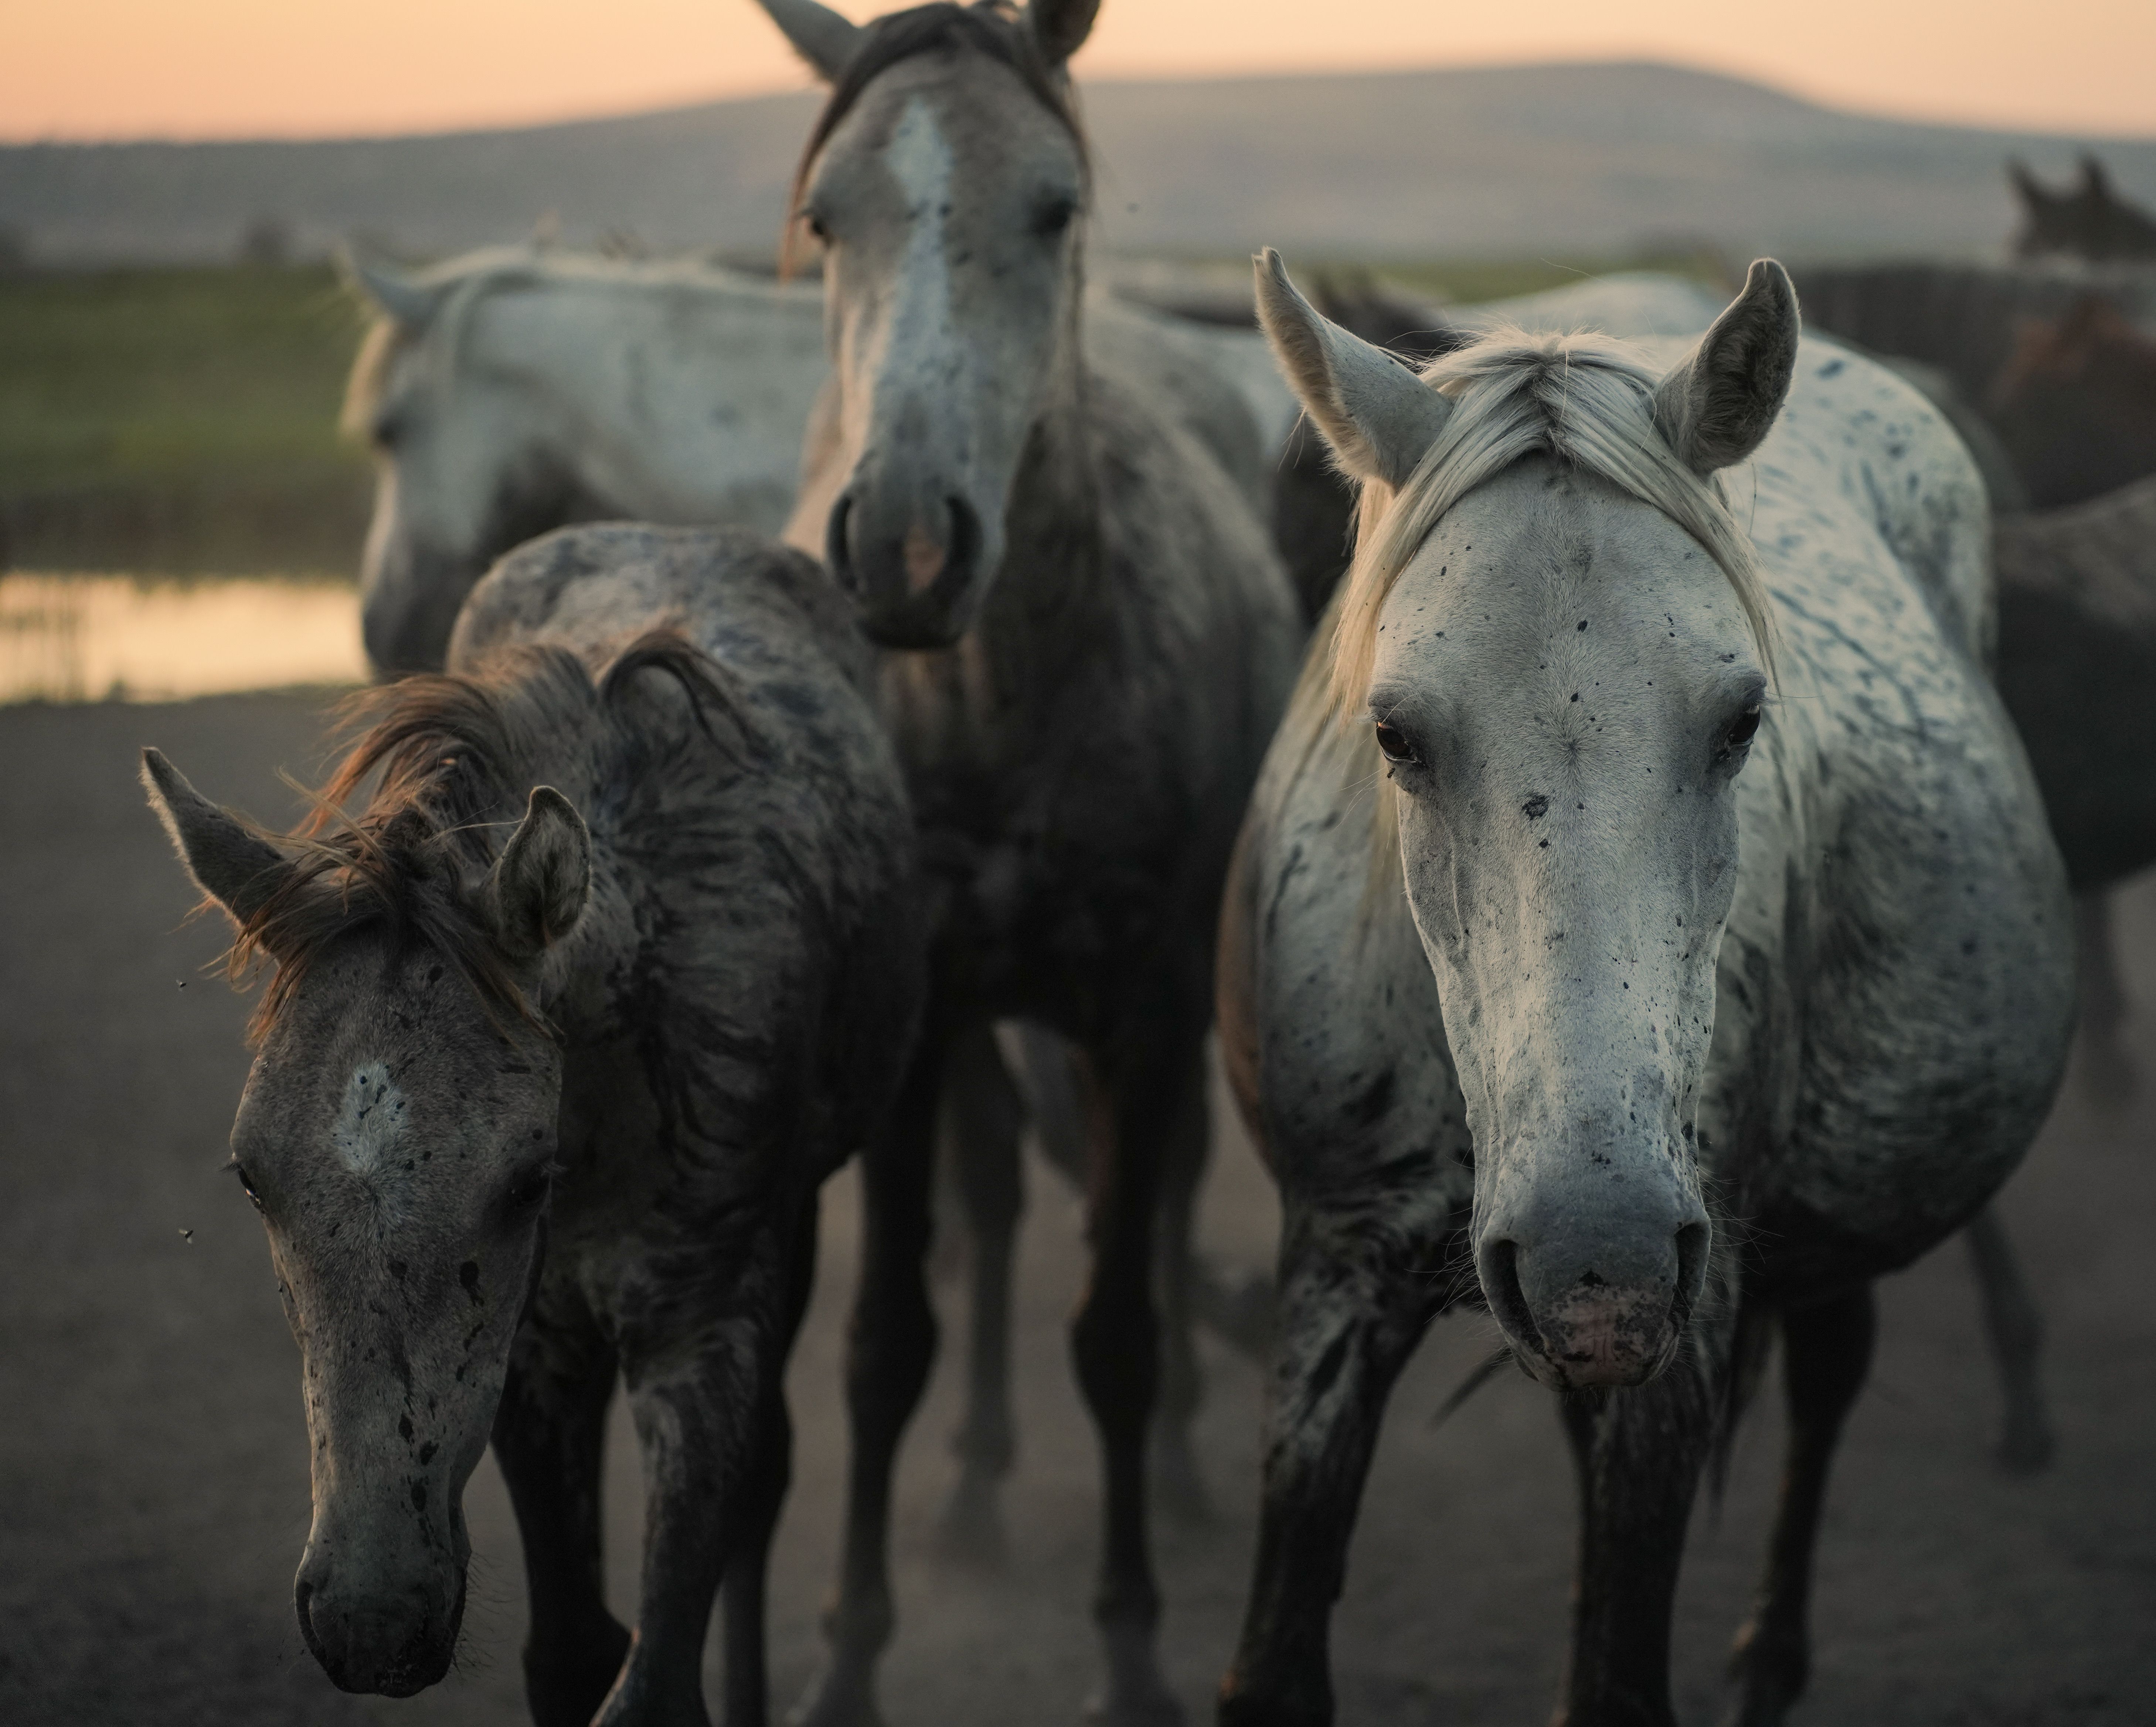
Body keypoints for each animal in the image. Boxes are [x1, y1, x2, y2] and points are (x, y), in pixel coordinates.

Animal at [142, 522, 924, 1727]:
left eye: (521, 1179)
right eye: (250, 1176)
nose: (371, 1621)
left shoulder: (701, 1337)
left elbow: (658, 1670)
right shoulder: (540, 1347)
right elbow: (570, 1649)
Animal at [751, 1, 1305, 1720]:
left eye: (1054, 206)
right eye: (825, 218)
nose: (907, 545)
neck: (999, 699)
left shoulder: (1144, 1011)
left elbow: (1115, 1328)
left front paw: (1128, 1652)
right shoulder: (920, 1022)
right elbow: (884, 1341)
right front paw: (846, 1656)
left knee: (1154, 1210)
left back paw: (1177, 1461)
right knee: (993, 1206)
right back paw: (982, 1479)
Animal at [1216, 253, 2074, 1727]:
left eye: (1739, 721)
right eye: (1395, 731)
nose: (1596, 1260)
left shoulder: (1685, 1333)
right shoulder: (1332, 1269)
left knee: (1831, 1373)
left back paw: (1769, 1657)